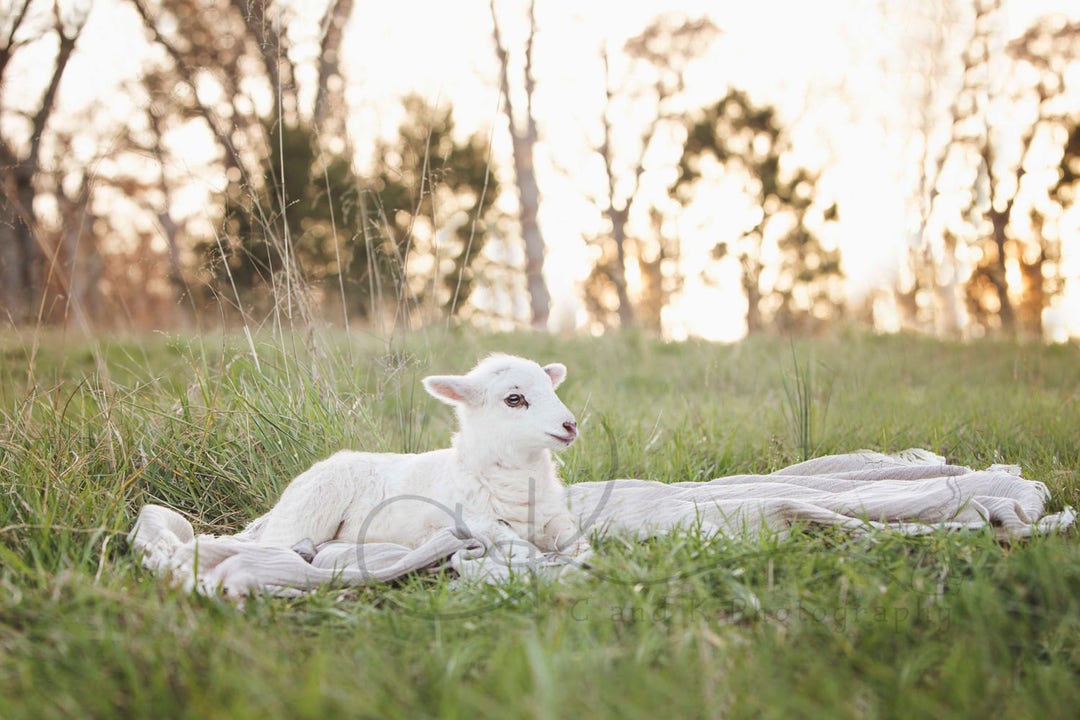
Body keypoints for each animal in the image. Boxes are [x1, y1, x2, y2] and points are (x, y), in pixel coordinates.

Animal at [248, 354, 587, 566]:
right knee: (271, 548)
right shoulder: (477, 524)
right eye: (514, 399)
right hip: (308, 512)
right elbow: (519, 546)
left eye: (550, 389)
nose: (570, 425)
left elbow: (577, 541)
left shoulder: (555, 520)